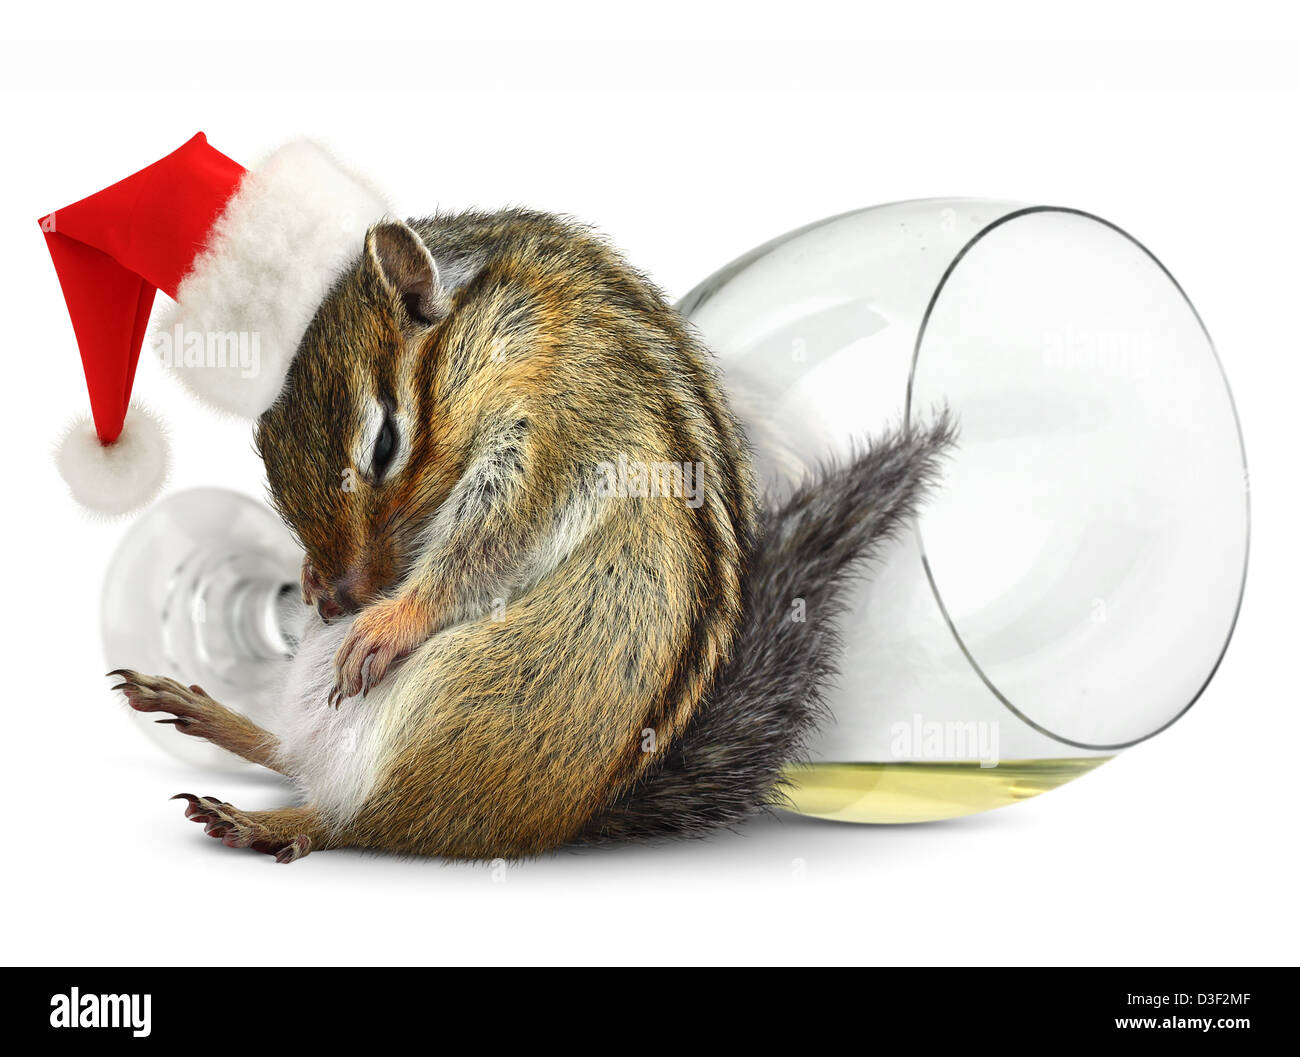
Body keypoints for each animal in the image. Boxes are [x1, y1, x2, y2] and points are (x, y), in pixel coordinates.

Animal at [111, 209, 954, 863]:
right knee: (292, 754)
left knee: (365, 822)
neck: (504, 326)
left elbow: (487, 548)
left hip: (458, 703)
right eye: (264, 437)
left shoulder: (558, 428)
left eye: (383, 445)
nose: (344, 598)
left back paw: (268, 817)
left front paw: (392, 620)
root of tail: (570, 819)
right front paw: (316, 583)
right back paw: (200, 710)